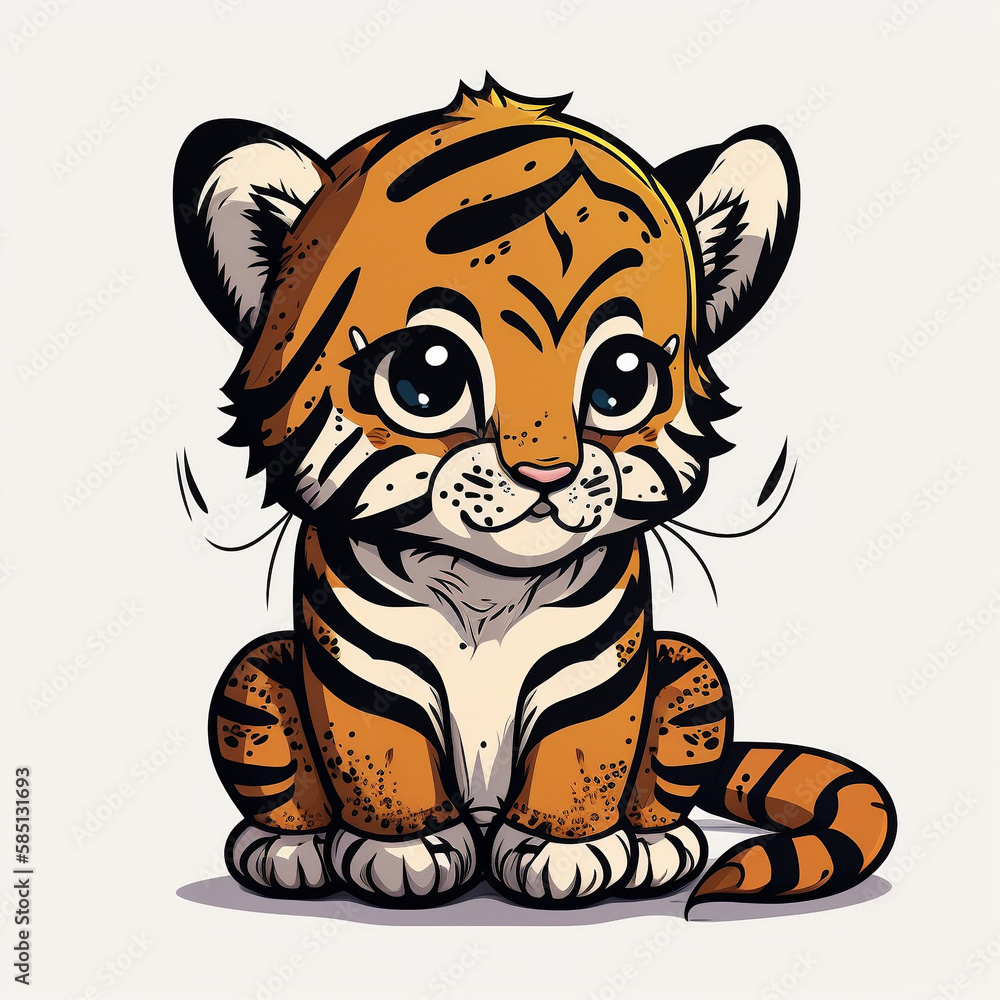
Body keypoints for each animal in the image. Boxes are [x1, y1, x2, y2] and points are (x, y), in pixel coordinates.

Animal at [172, 77, 896, 914]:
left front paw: (564, 855)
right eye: (424, 377)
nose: (546, 473)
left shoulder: (596, 671)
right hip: (253, 677)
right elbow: (382, 758)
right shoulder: (362, 671)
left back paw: (657, 849)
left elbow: (580, 756)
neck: (486, 582)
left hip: (693, 672)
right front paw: (408, 853)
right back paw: (288, 851)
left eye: (622, 379)